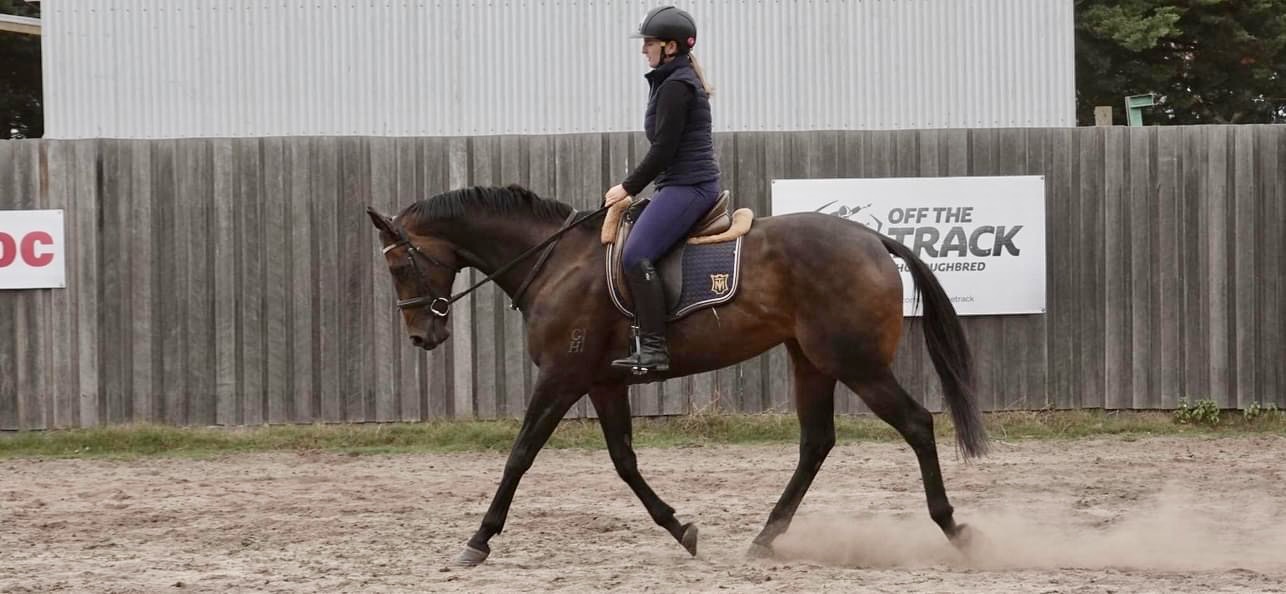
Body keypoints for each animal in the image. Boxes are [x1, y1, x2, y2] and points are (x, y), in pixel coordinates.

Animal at [365, 184, 988, 566]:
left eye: (398, 265)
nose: (422, 336)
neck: (557, 261)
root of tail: (873, 238)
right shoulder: (603, 383)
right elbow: (624, 461)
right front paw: (680, 528)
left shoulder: (562, 378)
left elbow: (519, 455)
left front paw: (478, 541)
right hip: (810, 360)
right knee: (817, 442)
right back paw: (765, 538)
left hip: (853, 362)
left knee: (916, 423)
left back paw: (954, 529)